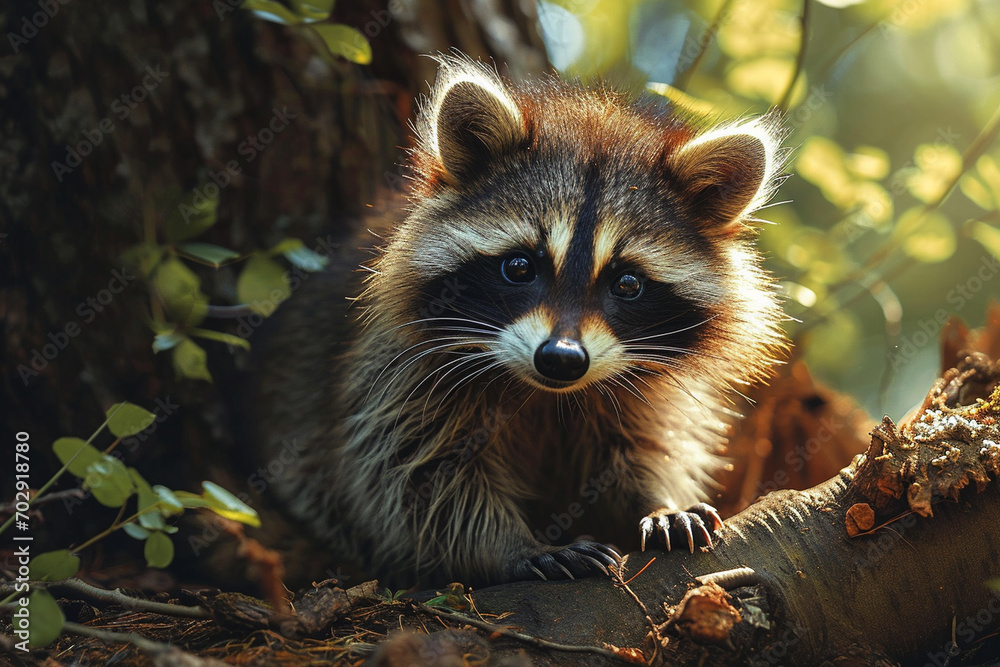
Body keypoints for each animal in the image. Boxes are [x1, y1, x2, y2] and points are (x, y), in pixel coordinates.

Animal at [255, 55, 786, 588]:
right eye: (519, 267)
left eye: (627, 283)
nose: (561, 359)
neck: (547, 395)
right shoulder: (398, 366)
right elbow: (412, 475)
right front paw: (512, 546)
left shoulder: (642, 391)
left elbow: (639, 449)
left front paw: (658, 501)